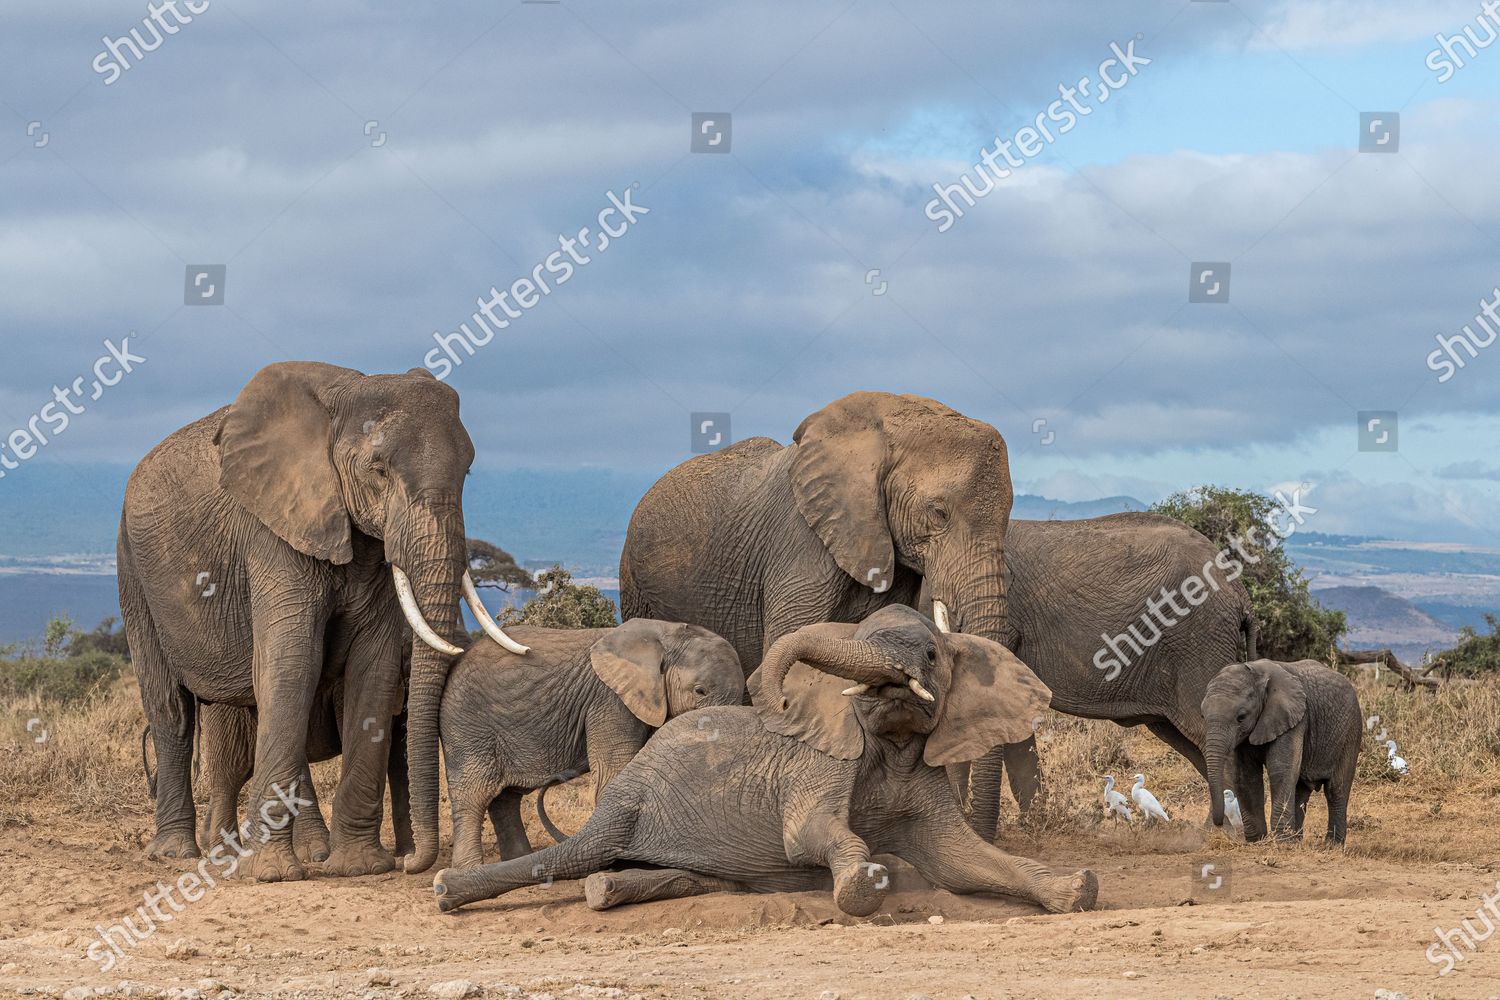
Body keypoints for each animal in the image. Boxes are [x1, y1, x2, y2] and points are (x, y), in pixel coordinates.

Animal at [118, 361, 526, 879]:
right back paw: (180, 853)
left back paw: (302, 853)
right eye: (378, 469)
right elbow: (293, 661)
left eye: (468, 470)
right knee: (170, 708)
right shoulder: (274, 529)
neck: (346, 394)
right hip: (133, 567)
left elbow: (373, 667)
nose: (414, 864)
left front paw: (357, 866)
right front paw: (271, 874)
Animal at [441, 618, 745, 868]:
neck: (666, 634)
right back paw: (469, 870)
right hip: (467, 726)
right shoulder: (610, 700)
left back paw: (517, 860)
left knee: (506, 799)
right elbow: (616, 771)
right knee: (473, 795)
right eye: (700, 691)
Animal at [1201, 659, 1361, 844]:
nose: (1219, 824)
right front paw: (1257, 841)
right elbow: (1245, 776)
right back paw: (1296, 841)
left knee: (1336, 789)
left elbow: (1280, 770)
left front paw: (1281, 843)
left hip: (1351, 731)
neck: (1256, 673)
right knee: (1300, 791)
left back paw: (1330, 846)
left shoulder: (1294, 719)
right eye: (1202, 716)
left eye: (1241, 717)